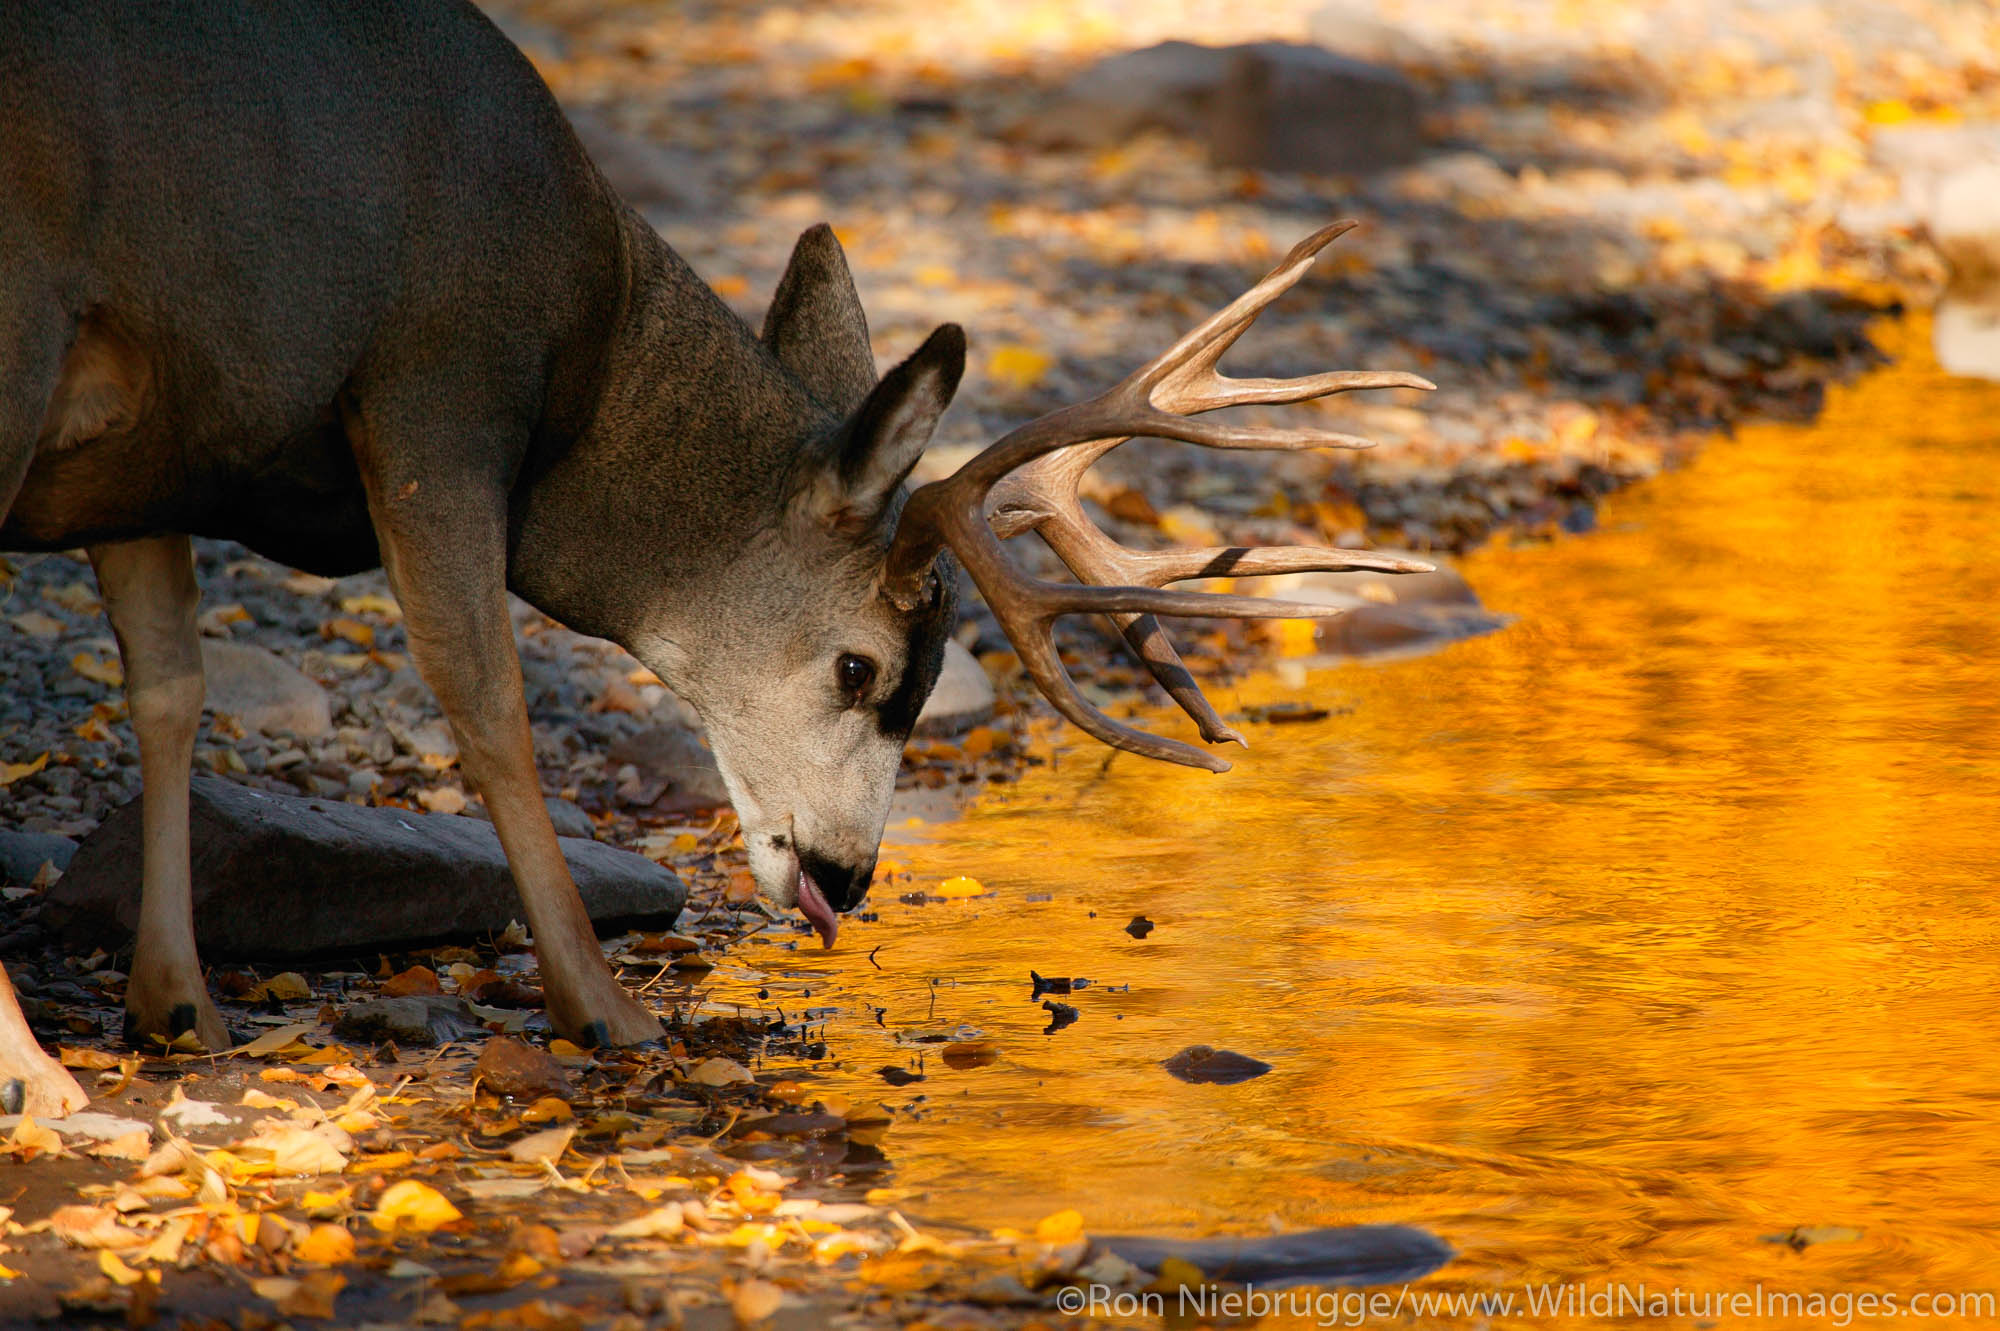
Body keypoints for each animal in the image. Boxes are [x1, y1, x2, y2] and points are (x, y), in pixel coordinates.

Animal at [0, 0, 1431, 1117]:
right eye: (861, 666)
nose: (848, 878)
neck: (587, 374)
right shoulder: (435, 386)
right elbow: (487, 697)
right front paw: (603, 1006)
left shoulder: (159, 446)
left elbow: (171, 688)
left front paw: (174, 1002)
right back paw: (44, 1081)